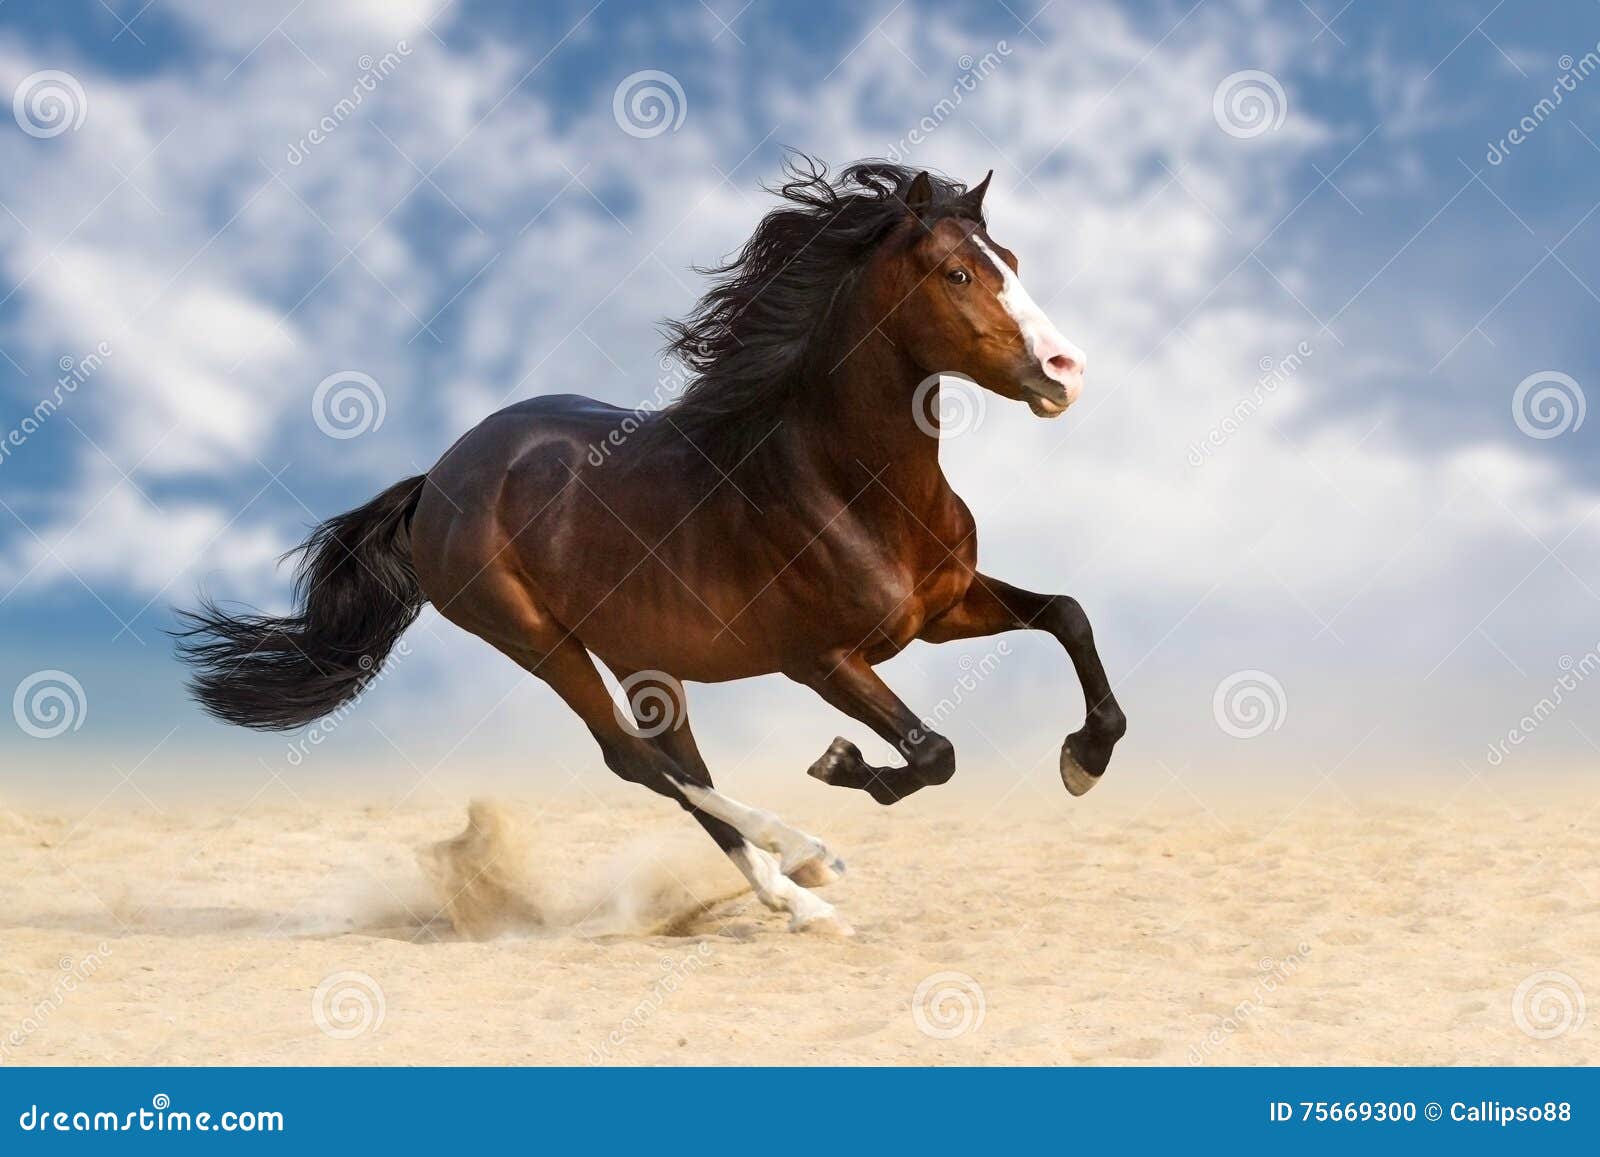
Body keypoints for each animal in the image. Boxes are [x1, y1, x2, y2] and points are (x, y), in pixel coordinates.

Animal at [176, 157, 1127, 933]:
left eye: (1013, 262)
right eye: (958, 272)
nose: (1067, 371)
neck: (846, 483)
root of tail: (438, 480)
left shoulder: (941, 609)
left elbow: (1070, 616)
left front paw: (1084, 758)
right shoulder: (822, 660)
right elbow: (933, 753)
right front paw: (842, 762)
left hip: (642, 656)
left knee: (673, 761)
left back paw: (791, 891)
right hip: (539, 642)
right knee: (635, 761)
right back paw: (808, 861)